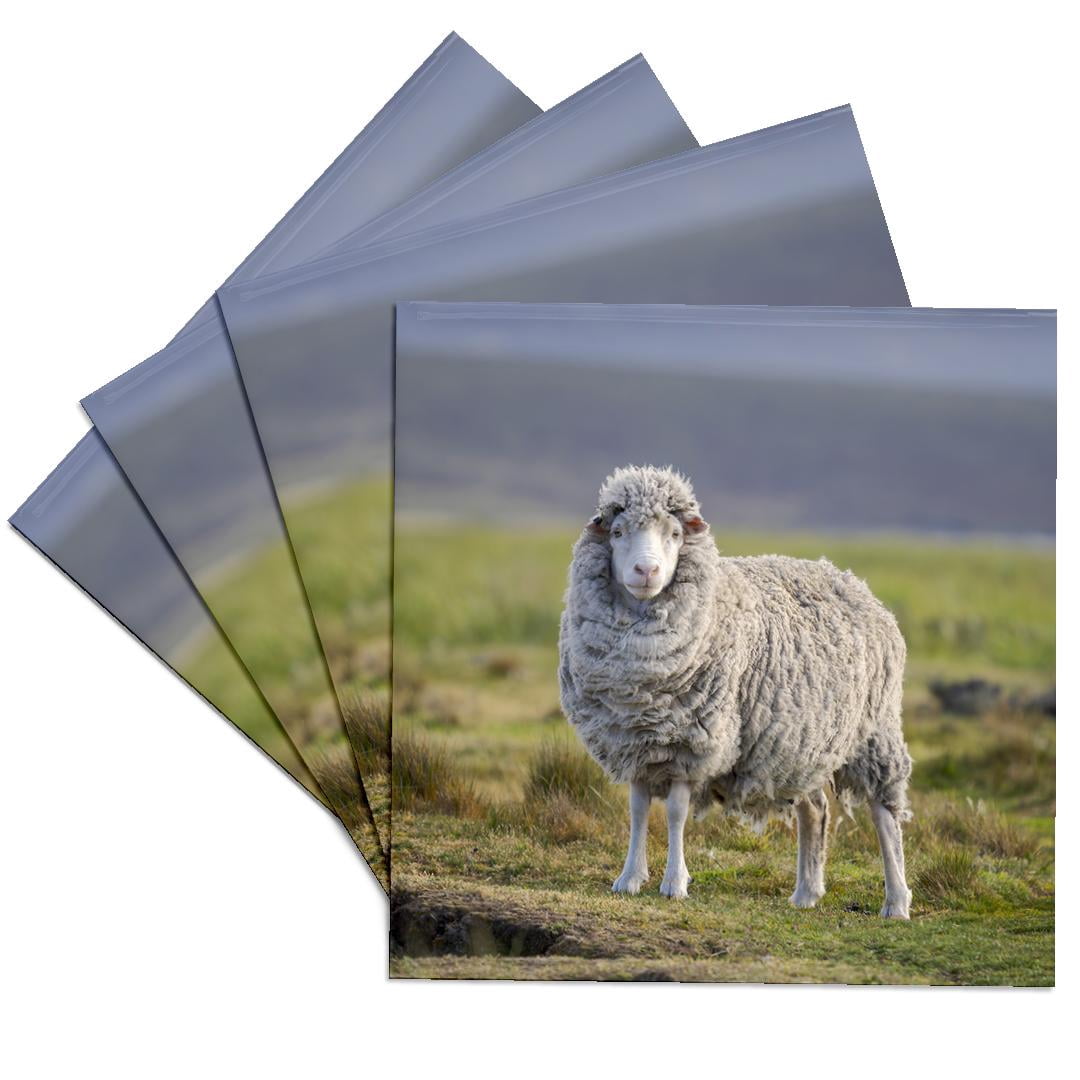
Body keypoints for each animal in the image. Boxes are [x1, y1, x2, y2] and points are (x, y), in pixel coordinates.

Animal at [558, 465, 913, 918]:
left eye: (675, 534)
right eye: (618, 531)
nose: (646, 571)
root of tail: (850, 580)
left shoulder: (692, 742)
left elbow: (675, 812)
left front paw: (675, 882)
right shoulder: (636, 742)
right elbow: (637, 811)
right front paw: (629, 878)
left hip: (874, 732)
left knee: (885, 814)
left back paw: (896, 901)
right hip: (802, 743)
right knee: (815, 810)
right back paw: (806, 892)